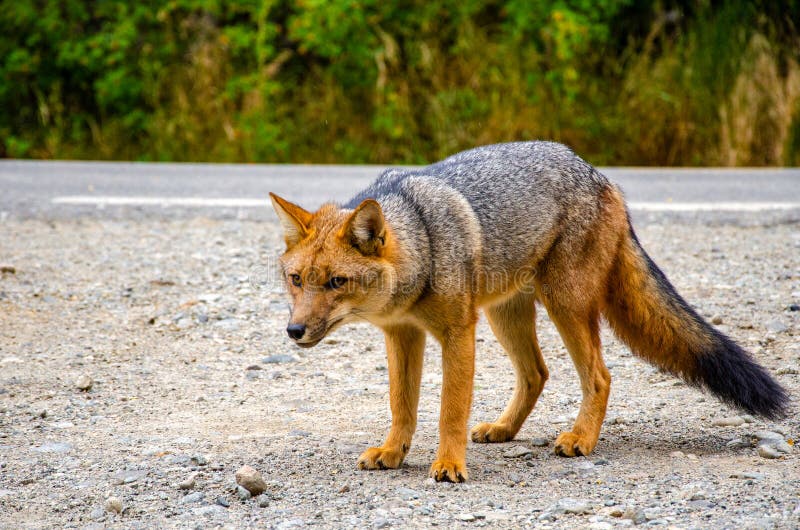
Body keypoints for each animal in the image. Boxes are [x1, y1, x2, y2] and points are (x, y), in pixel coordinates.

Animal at [269, 141, 789, 483]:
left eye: (336, 282)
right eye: (296, 280)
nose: (294, 331)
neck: (423, 242)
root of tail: (601, 175)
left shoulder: (458, 333)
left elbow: (449, 409)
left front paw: (449, 464)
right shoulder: (401, 335)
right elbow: (403, 404)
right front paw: (393, 451)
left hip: (565, 307)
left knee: (599, 376)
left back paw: (581, 439)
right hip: (508, 317)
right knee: (537, 373)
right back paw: (504, 429)